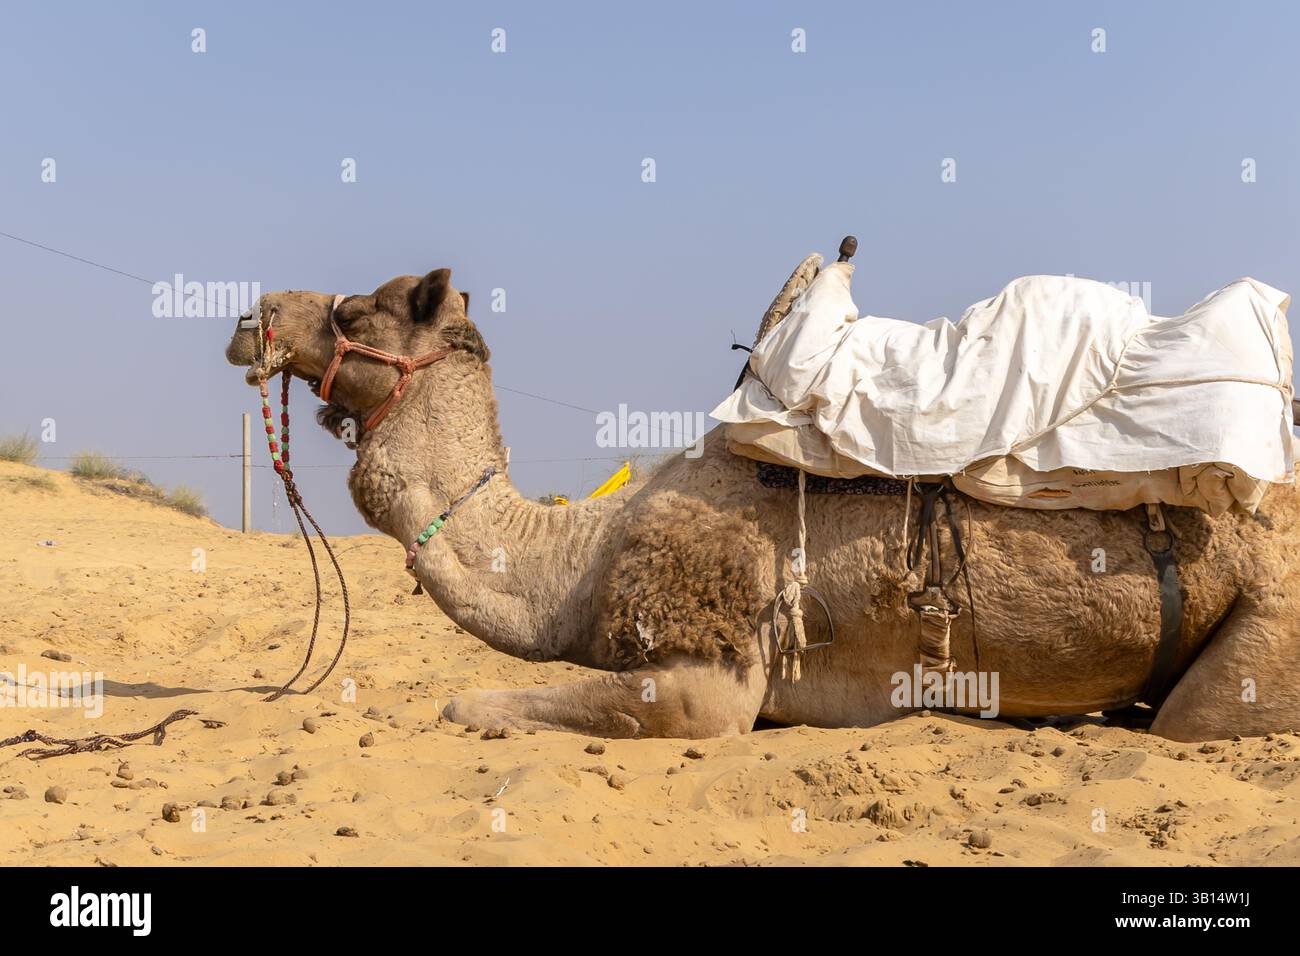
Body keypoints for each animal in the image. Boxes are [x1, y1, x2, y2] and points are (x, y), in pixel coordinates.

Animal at [225, 266, 1300, 742]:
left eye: (357, 309)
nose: (250, 316)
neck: (581, 555)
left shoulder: (710, 666)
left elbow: (463, 701)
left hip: (1265, 628)